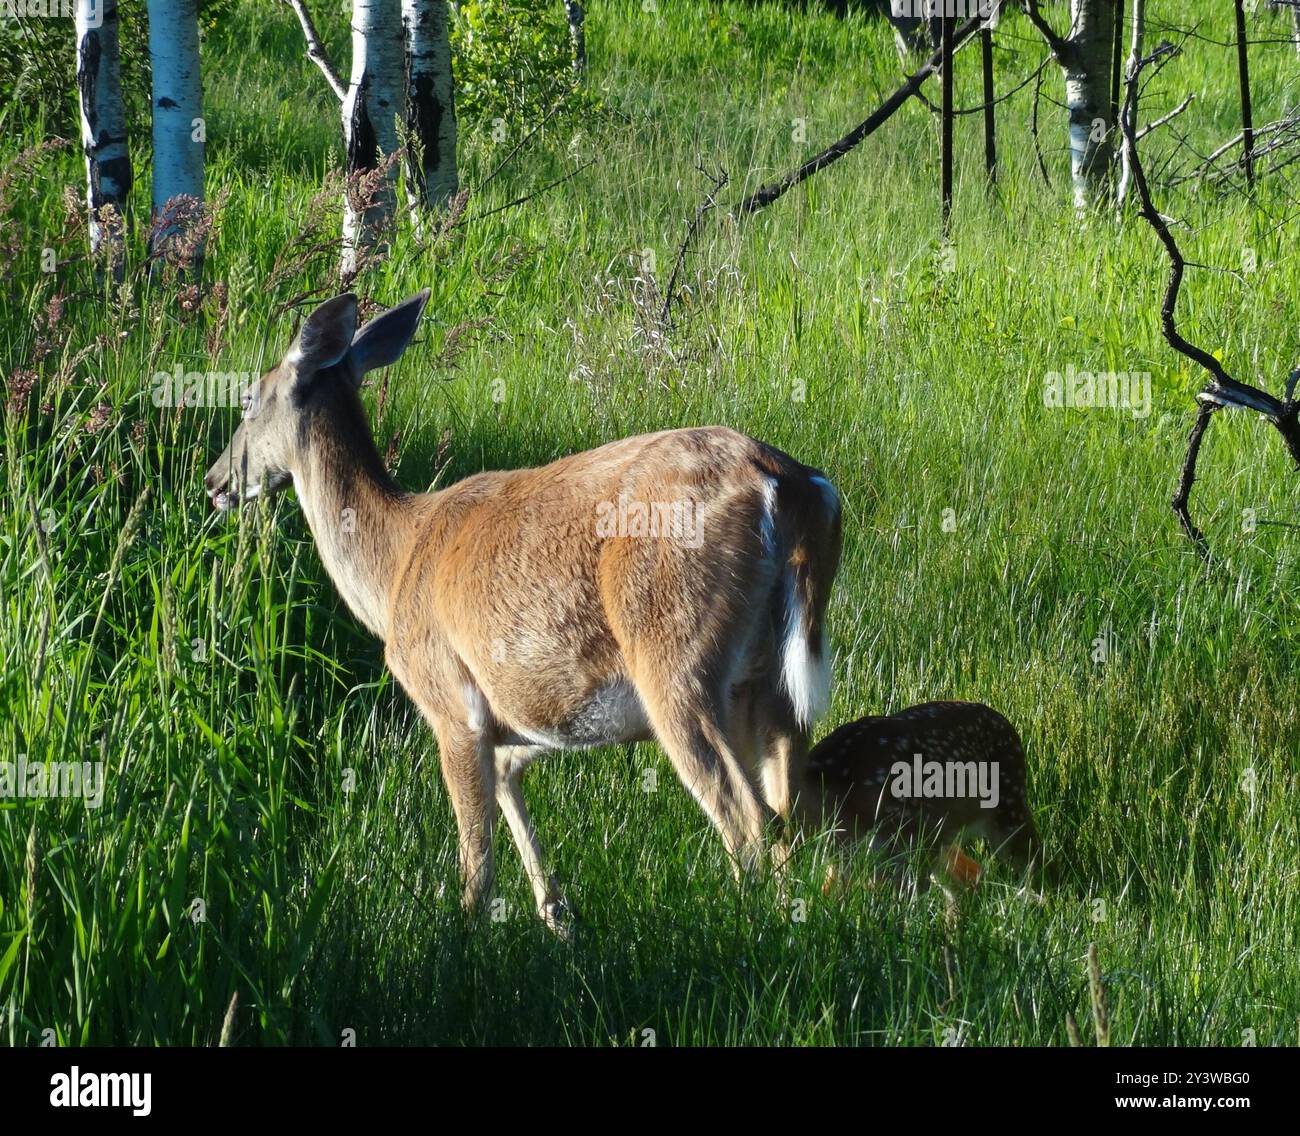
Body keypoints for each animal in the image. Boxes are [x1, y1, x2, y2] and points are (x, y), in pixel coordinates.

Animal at [204, 290, 842, 934]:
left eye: (248, 398)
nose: (213, 482)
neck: (394, 566)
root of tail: (789, 484)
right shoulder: (520, 714)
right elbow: (511, 784)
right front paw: (557, 916)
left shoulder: (450, 699)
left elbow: (475, 858)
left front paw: (465, 932)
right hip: (772, 683)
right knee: (801, 811)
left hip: (676, 653)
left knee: (750, 818)